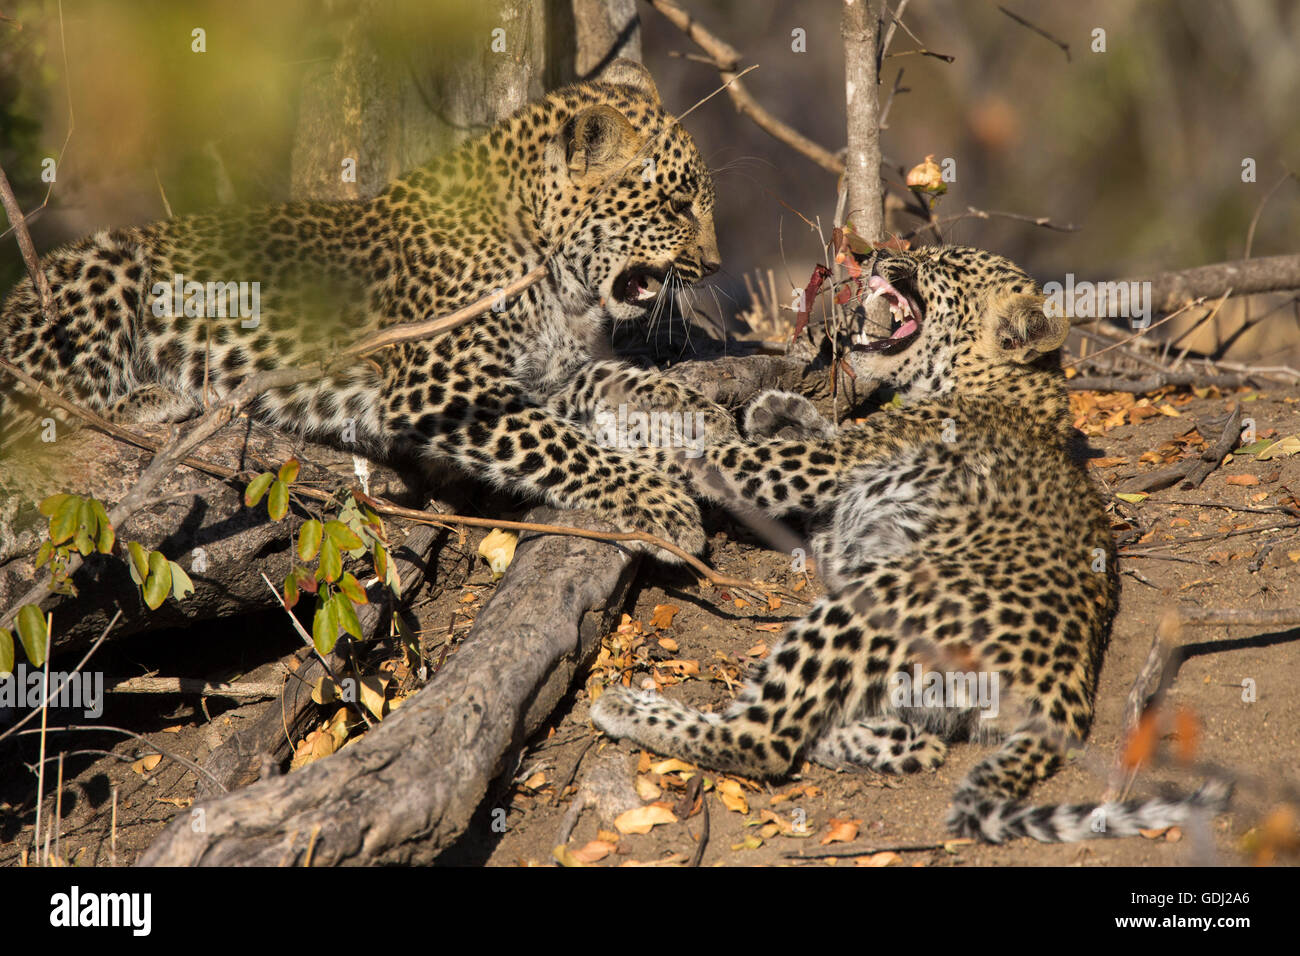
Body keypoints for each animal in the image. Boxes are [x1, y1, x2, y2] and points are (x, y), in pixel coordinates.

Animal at [0, 59, 739, 559]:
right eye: (677, 205)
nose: (714, 265)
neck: (558, 275)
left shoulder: (550, 372)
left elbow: (623, 380)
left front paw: (698, 413)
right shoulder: (442, 386)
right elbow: (564, 446)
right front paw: (657, 502)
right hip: (107, 263)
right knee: (42, 417)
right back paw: (156, 397)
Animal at [592, 245, 1231, 843]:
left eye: (944, 261)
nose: (875, 254)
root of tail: (1064, 691)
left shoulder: (818, 468)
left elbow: (719, 455)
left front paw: (623, 430)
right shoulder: (833, 512)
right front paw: (778, 407)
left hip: (879, 595)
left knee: (765, 739)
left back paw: (629, 707)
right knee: (900, 741)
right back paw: (876, 741)